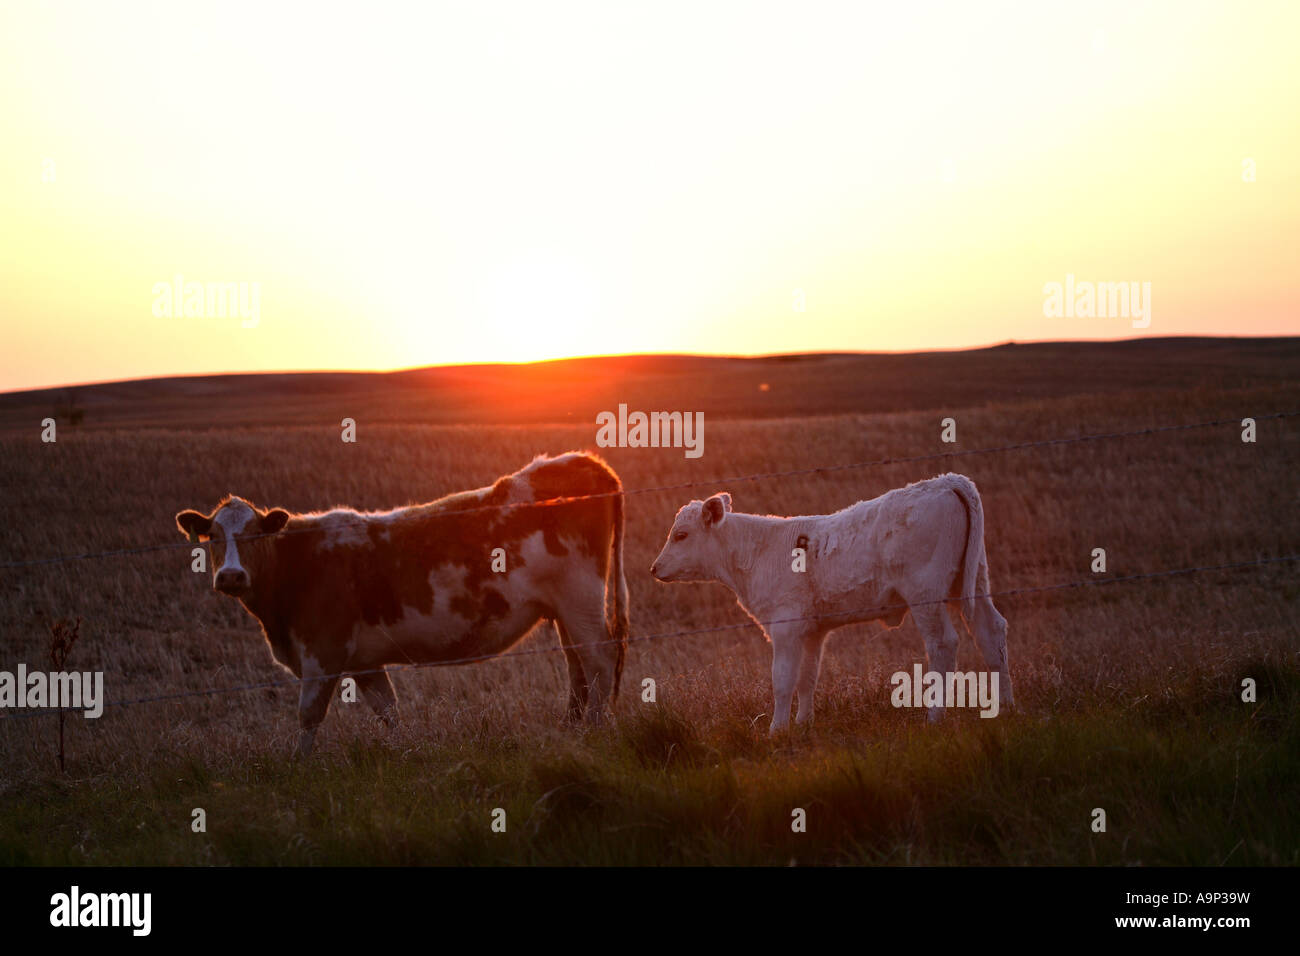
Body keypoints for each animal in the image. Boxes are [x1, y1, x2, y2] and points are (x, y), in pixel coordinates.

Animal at [174, 452, 628, 756]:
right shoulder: (364, 662)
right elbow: (388, 712)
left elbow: (309, 714)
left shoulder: (323, 652)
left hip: (580, 597)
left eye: (254, 535)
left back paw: (595, 730)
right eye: (213, 537)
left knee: (599, 658)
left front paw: (300, 767)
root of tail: (585, 461)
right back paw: (571, 728)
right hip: (565, 609)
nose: (231, 575)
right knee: (577, 666)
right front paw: (404, 753)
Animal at [650, 473, 1011, 733]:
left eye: (681, 535)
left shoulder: (785, 628)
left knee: (943, 644)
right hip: (974, 581)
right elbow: (807, 678)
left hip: (927, 595)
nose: (655, 568)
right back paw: (1006, 706)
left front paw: (776, 730)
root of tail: (947, 481)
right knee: (991, 633)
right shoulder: (813, 631)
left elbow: (783, 679)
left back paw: (934, 716)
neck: (759, 549)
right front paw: (803, 723)